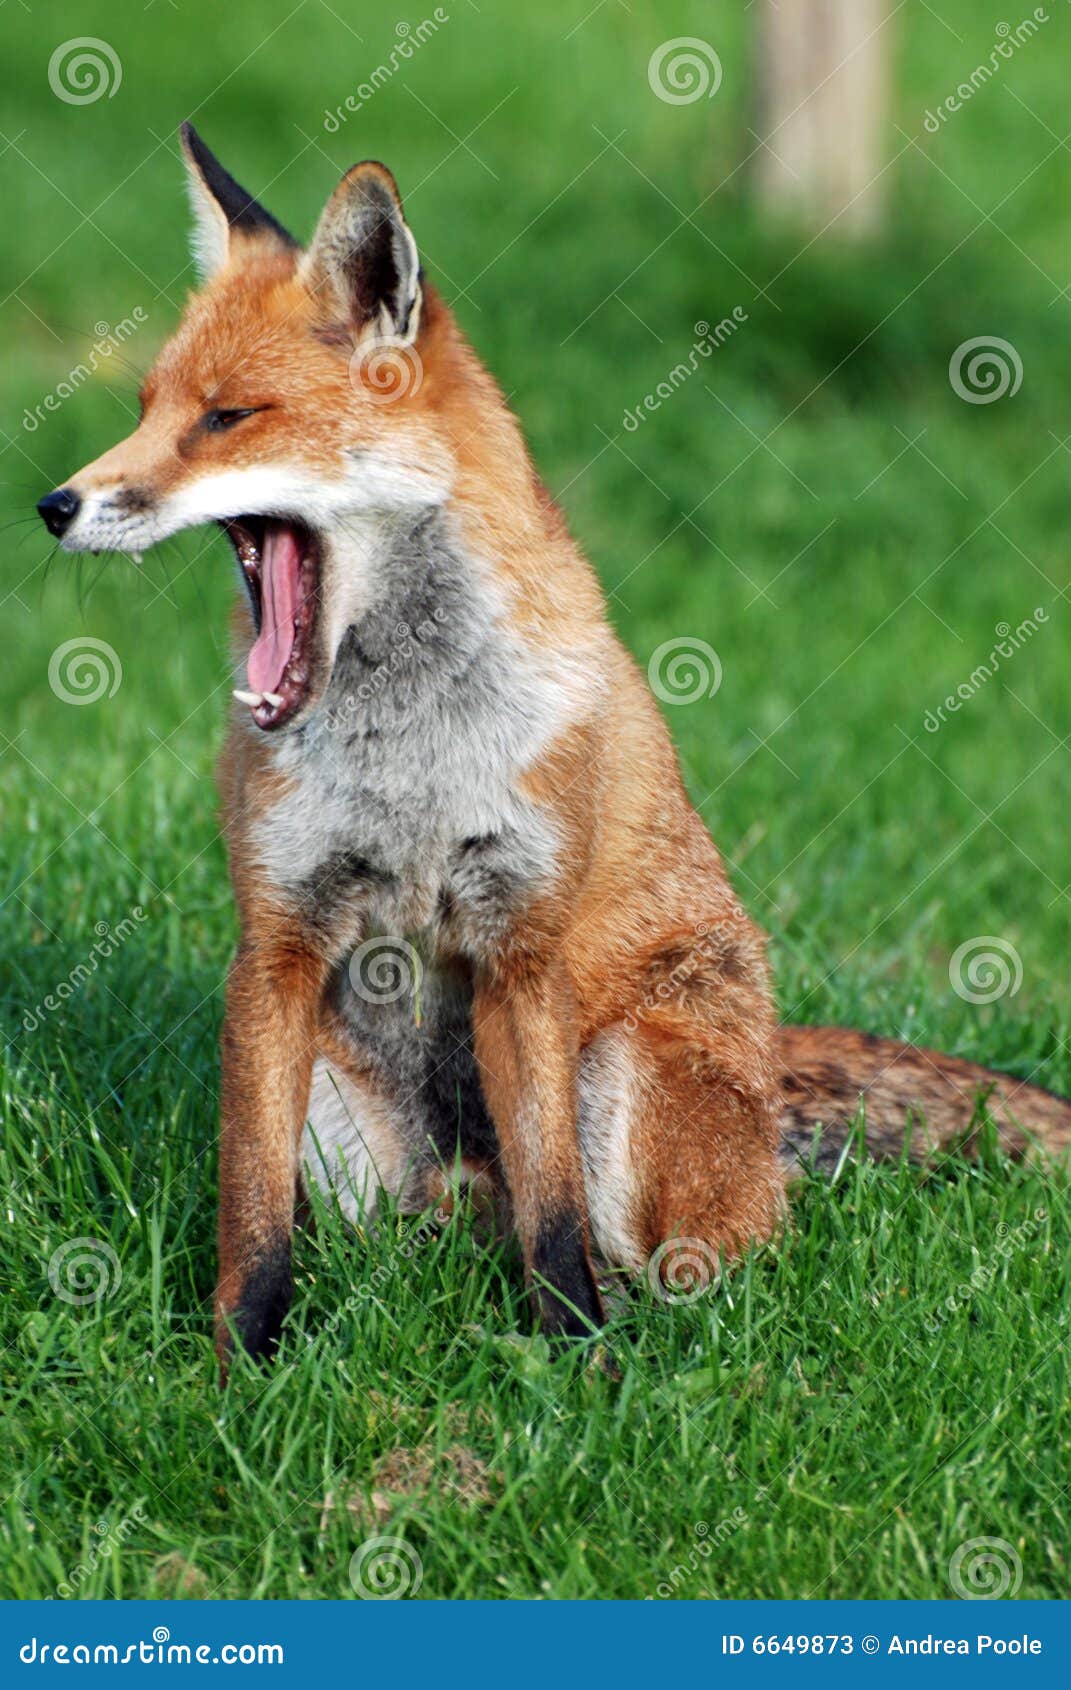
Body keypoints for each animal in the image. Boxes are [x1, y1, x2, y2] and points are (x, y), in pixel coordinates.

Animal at [38, 126, 1071, 1372]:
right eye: (145, 407)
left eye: (230, 417)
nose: (56, 503)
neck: (406, 753)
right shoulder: (276, 948)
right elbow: (252, 1216)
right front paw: (238, 1367)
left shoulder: (520, 945)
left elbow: (557, 1217)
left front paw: (578, 1365)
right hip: (347, 1134)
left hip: (624, 1069)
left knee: (677, 1264)